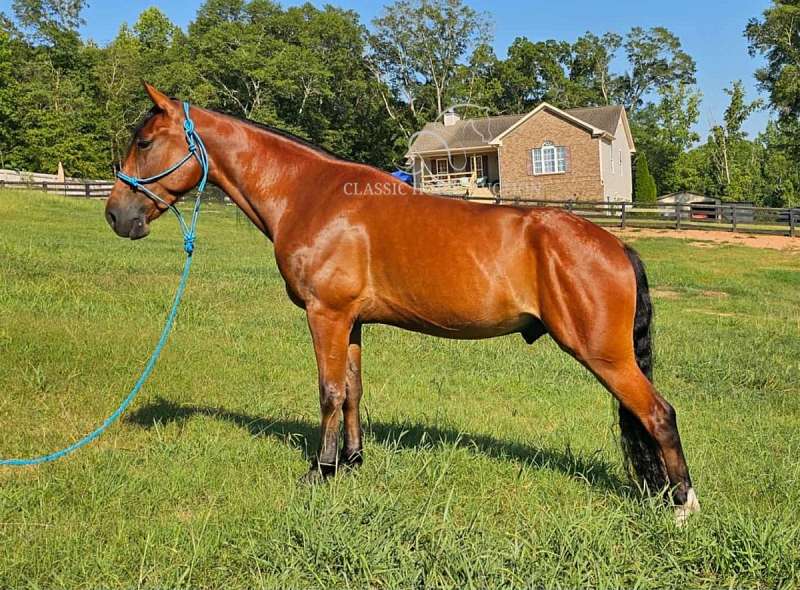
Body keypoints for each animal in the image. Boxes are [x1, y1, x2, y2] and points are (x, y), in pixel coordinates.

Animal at [105, 83, 699, 524]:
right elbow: (352, 392)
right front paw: (351, 463)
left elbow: (327, 392)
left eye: (145, 142)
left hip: (605, 355)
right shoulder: (352, 322)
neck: (309, 195)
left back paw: (683, 506)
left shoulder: (326, 315)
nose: (116, 216)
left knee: (659, 414)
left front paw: (319, 471)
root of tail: (616, 245)